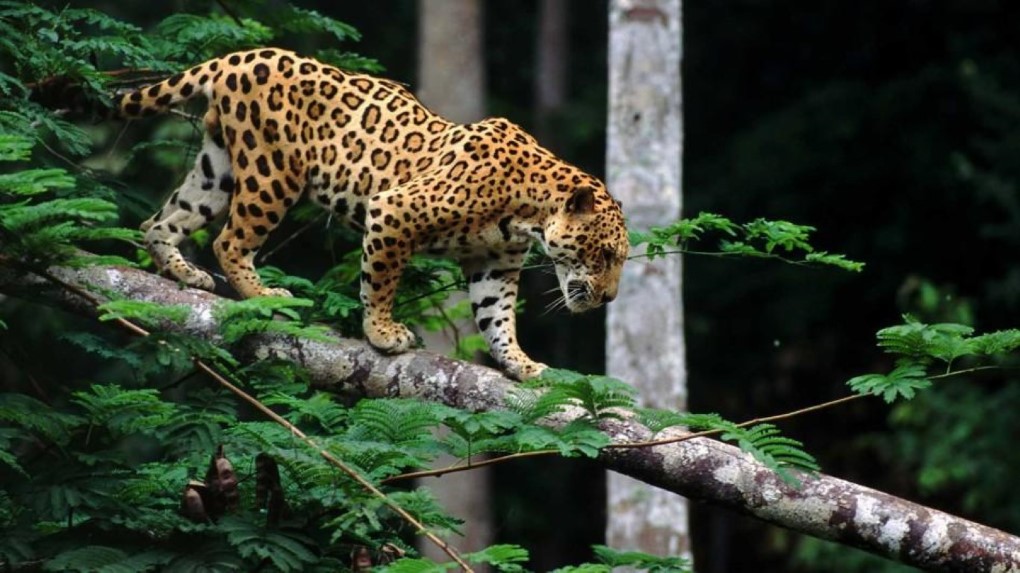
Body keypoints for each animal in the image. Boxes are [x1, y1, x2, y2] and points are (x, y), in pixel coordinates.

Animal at [113, 48, 629, 380]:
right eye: (604, 255)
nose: (608, 299)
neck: (529, 211)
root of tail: (240, 56)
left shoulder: (495, 264)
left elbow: (497, 318)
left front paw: (520, 363)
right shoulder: (395, 210)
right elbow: (380, 282)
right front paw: (382, 333)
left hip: (215, 168)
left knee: (160, 222)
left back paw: (182, 271)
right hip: (272, 172)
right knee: (230, 240)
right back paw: (263, 294)